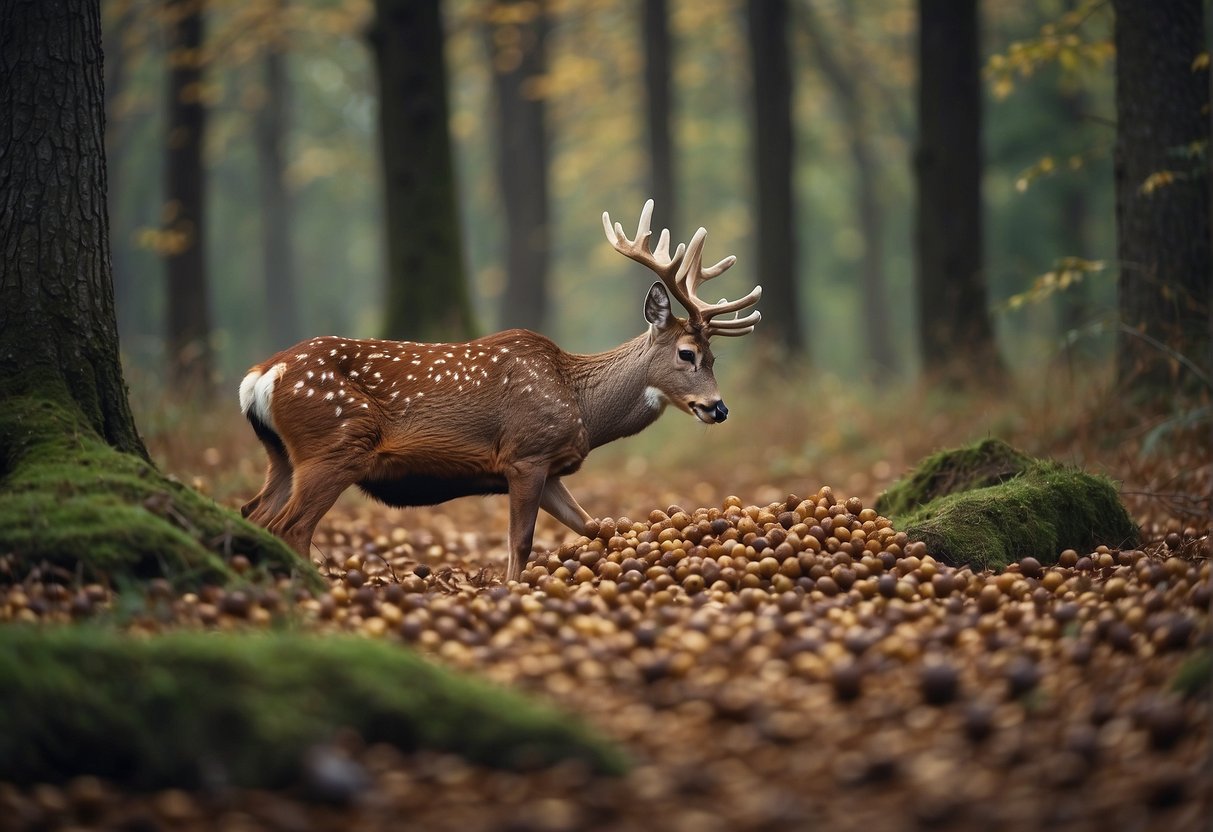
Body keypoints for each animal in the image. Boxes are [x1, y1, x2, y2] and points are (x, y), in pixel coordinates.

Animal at [238, 200, 762, 582]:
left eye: (715, 358)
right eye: (687, 354)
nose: (718, 408)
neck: (581, 405)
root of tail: (260, 377)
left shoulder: (550, 466)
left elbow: (594, 525)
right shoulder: (526, 453)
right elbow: (521, 542)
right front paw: (510, 590)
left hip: (283, 455)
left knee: (252, 513)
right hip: (333, 443)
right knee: (291, 525)